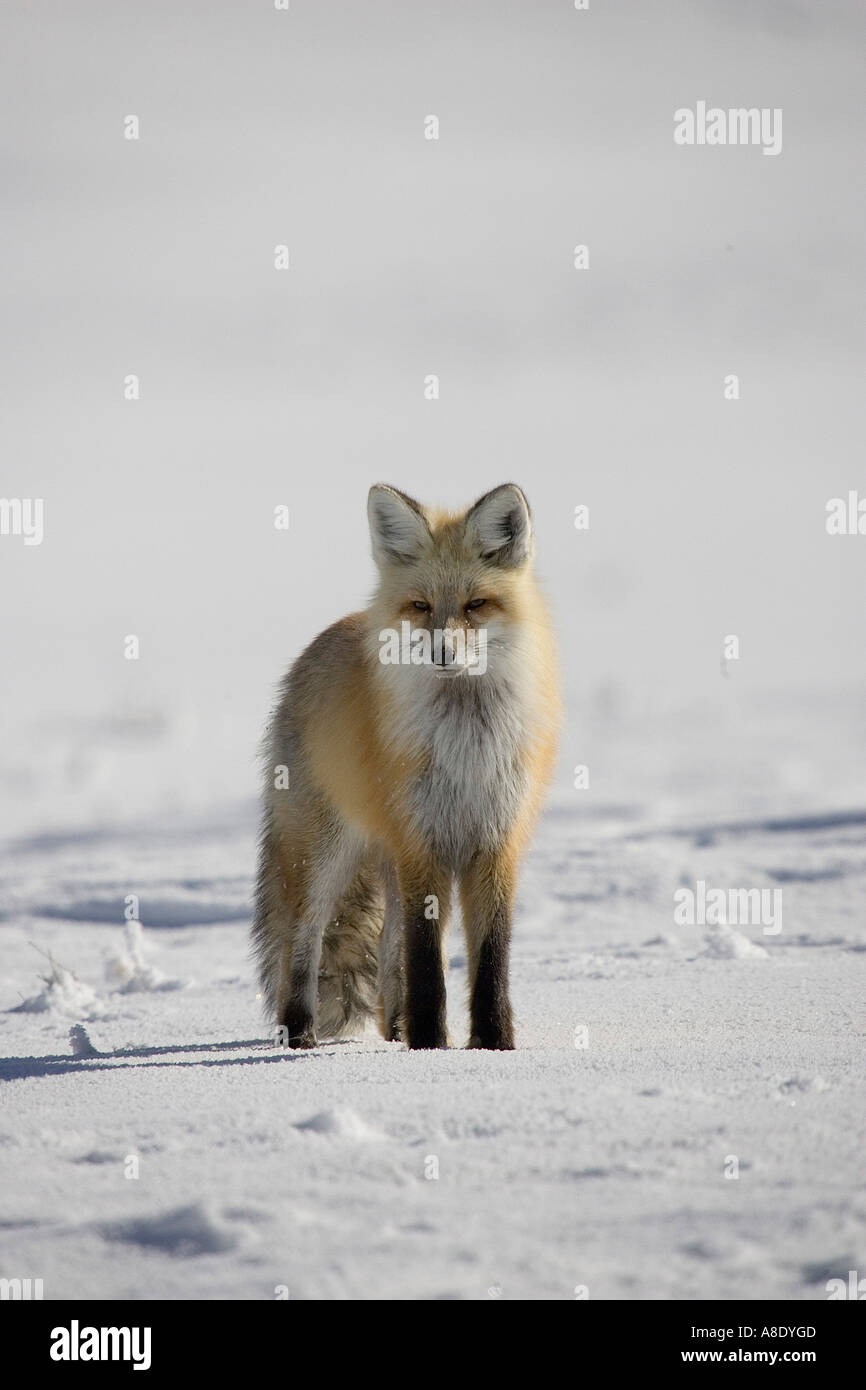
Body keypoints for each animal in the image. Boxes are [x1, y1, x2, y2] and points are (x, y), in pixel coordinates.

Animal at [252, 482, 560, 1050]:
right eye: (421, 606)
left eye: (476, 604)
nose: (443, 652)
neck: (466, 745)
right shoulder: (423, 844)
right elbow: (426, 963)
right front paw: (431, 1048)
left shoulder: (496, 843)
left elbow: (491, 959)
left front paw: (493, 1046)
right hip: (322, 853)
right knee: (301, 944)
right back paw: (300, 1036)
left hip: (388, 860)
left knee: (387, 949)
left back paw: (395, 1031)